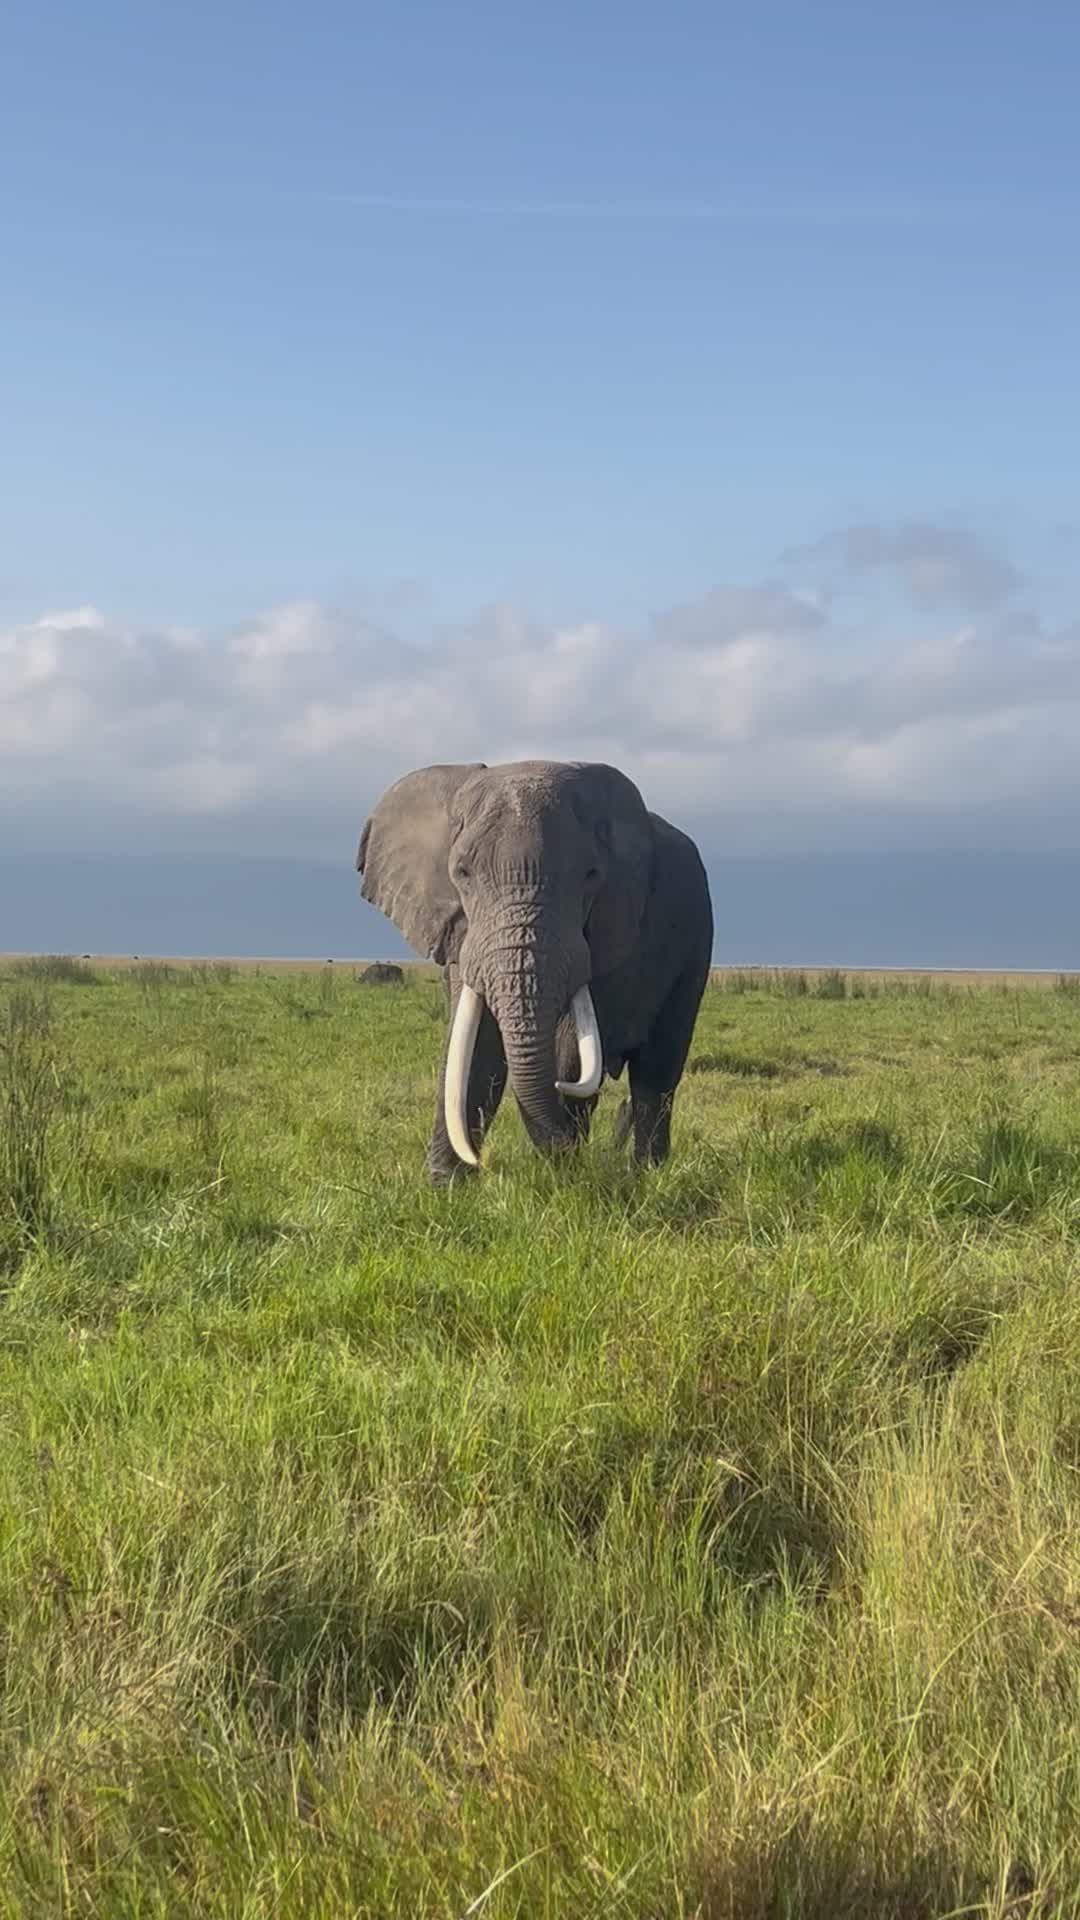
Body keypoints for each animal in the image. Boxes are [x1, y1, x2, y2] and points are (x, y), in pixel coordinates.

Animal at [356, 759, 714, 1184]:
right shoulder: (463, 932)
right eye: (461, 873)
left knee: (657, 1071)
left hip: (697, 938)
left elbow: (572, 1049)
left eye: (592, 875)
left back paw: (647, 1177)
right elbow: (473, 1048)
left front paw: (566, 1181)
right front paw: (447, 1188)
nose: (484, 1163)